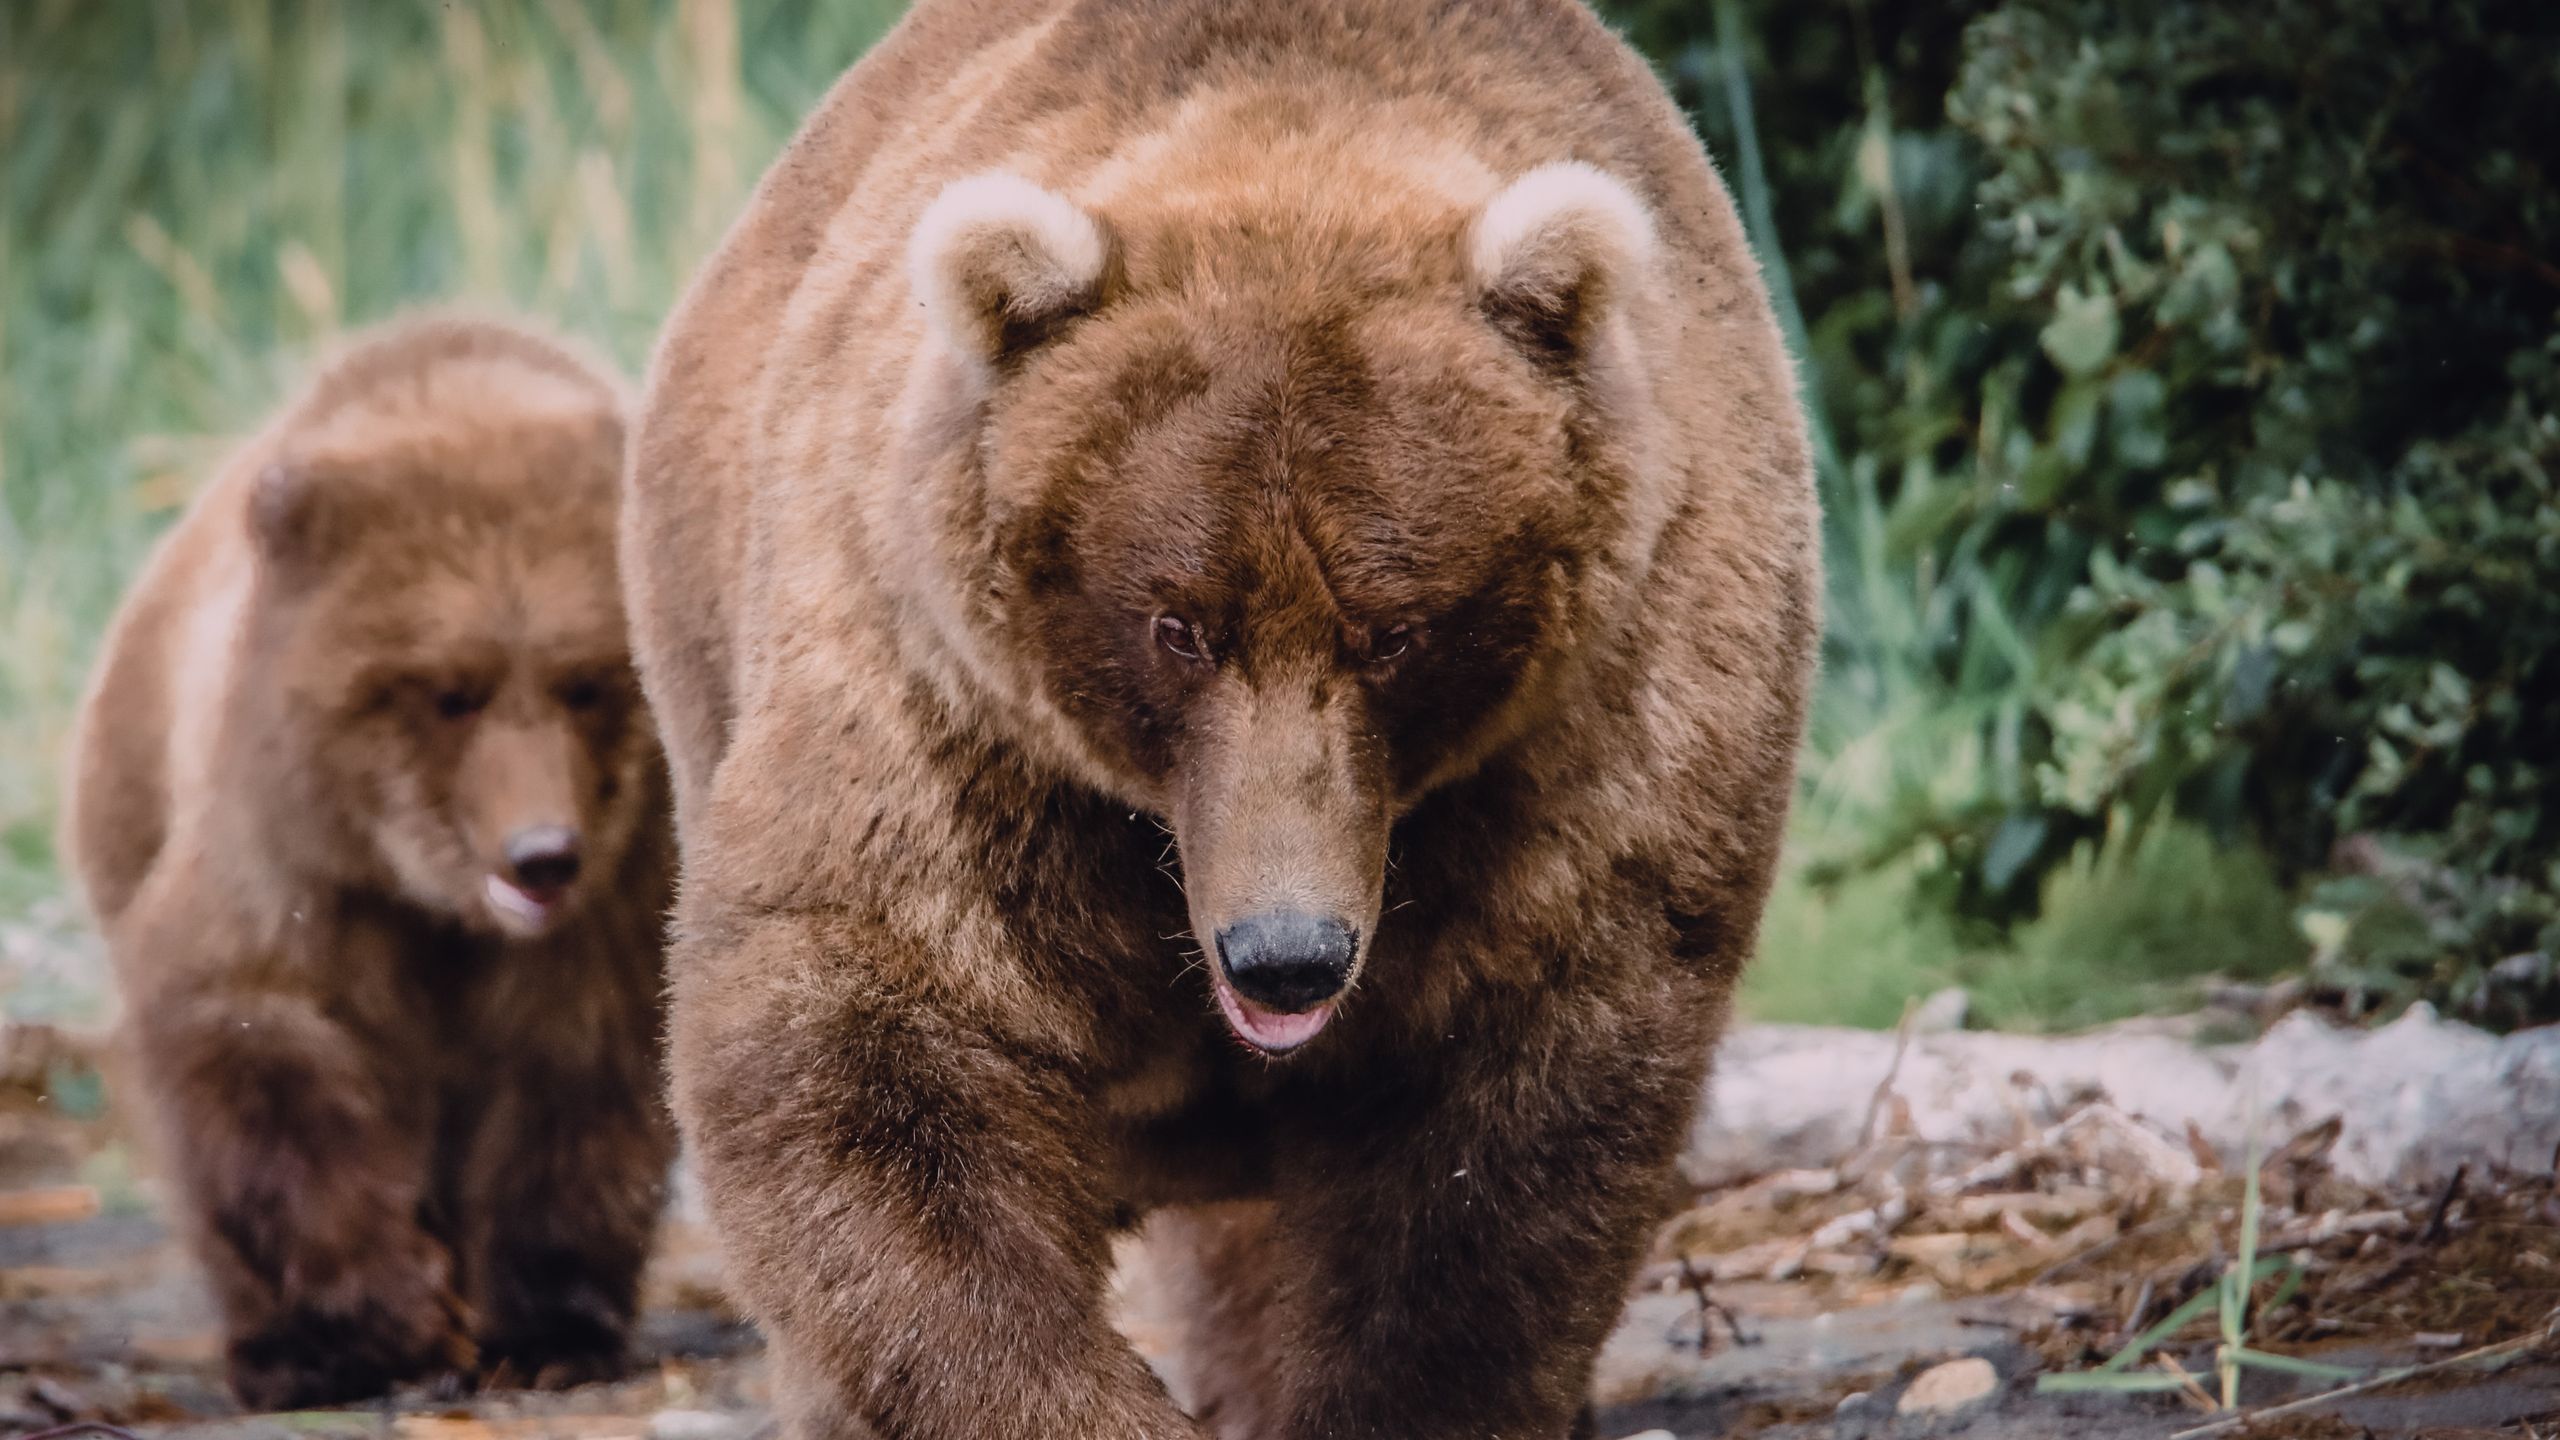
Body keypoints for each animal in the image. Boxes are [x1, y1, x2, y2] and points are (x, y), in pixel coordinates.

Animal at [65, 315, 677, 1410]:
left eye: (585, 681)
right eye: (448, 691)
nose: (542, 856)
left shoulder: (618, 882)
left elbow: (576, 1070)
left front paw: (545, 1331)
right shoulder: (292, 856)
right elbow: (257, 1030)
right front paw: (378, 1322)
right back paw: (279, 1353)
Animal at [622, 2, 1819, 1437]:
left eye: (1394, 631)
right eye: (1178, 623)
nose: (1285, 955)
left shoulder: (1595, 717)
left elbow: (1499, 1139)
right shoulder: (954, 702)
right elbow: (876, 1038)